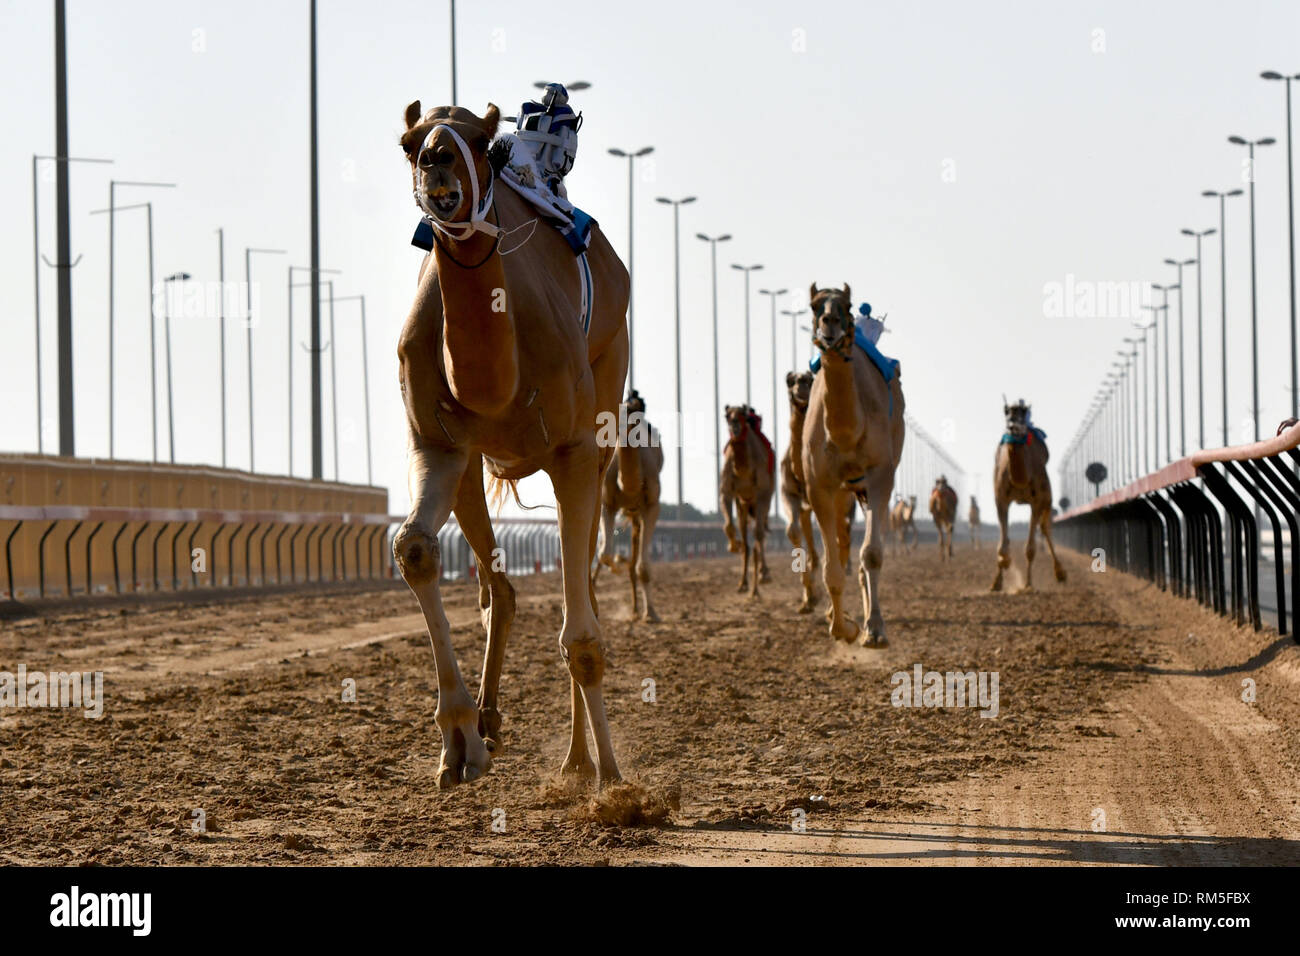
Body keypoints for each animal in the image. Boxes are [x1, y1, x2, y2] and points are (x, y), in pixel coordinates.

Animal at [392, 101, 629, 789]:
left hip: (606, 404)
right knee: (500, 588)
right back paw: (491, 722)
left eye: (479, 140)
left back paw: (578, 760)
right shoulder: (436, 445)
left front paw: (612, 779)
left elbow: (581, 631)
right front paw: (457, 741)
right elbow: (415, 549)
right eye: (409, 143)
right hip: (475, 466)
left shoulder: (573, 449)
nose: (436, 159)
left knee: (584, 585)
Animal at [594, 389, 664, 621]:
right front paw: (617, 563)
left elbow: (643, 567)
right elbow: (605, 554)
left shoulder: (651, 507)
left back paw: (637, 608)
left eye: (633, 413)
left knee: (636, 557)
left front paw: (651, 614)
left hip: (638, 514)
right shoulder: (607, 504)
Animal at [720, 404, 774, 597]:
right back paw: (744, 585)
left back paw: (757, 586)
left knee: (759, 537)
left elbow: (758, 534)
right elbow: (729, 526)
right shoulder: (728, 492)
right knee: (747, 542)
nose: (734, 424)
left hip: (761, 503)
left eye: (742, 414)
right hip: (743, 506)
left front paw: (765, 574)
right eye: (727, 415)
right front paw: (733, 546)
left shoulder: (763, 494)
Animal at [803, 283, 905, 646]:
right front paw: (841, 628)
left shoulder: (879, 476)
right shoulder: (818, 485)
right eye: (814, 305)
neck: (846, 434)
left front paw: (874, 630)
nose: (830, 323)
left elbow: (871, 554)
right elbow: (831, 565)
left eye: (845, 305)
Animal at [990, 399, 1066, 591]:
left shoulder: (1037, 501)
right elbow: (1002, 546)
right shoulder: (1000, 499)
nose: (1012, 426)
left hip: (1048, 500)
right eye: (1006, 411)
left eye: (1024, 412)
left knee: (1045, 528)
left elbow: (1030, 549)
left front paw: (1028, 584)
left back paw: (1060, 573)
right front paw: (997, 580)